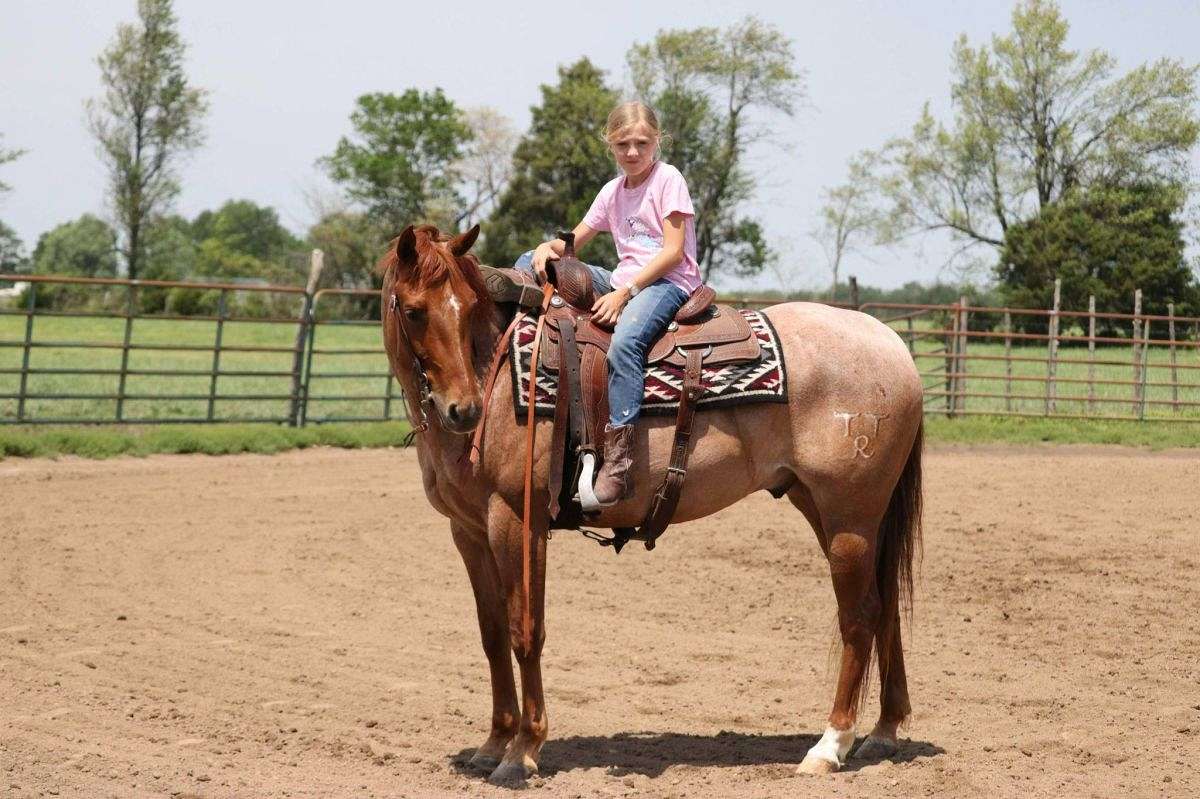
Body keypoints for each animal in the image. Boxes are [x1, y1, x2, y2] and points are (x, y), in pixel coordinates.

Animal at [379, 223, 924, 786]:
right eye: (415, 310)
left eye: (468, 306)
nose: (463, 410)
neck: (499, 369)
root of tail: (892, 345)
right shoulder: (468, 532)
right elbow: (491, 637)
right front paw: (492, 744)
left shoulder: (516, 522)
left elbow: (524, 631)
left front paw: (522, 750)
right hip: (828, 509)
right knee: (885, 608)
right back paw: (883, 732)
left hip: (850, 516)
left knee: (859, 616)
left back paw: (829, 745)